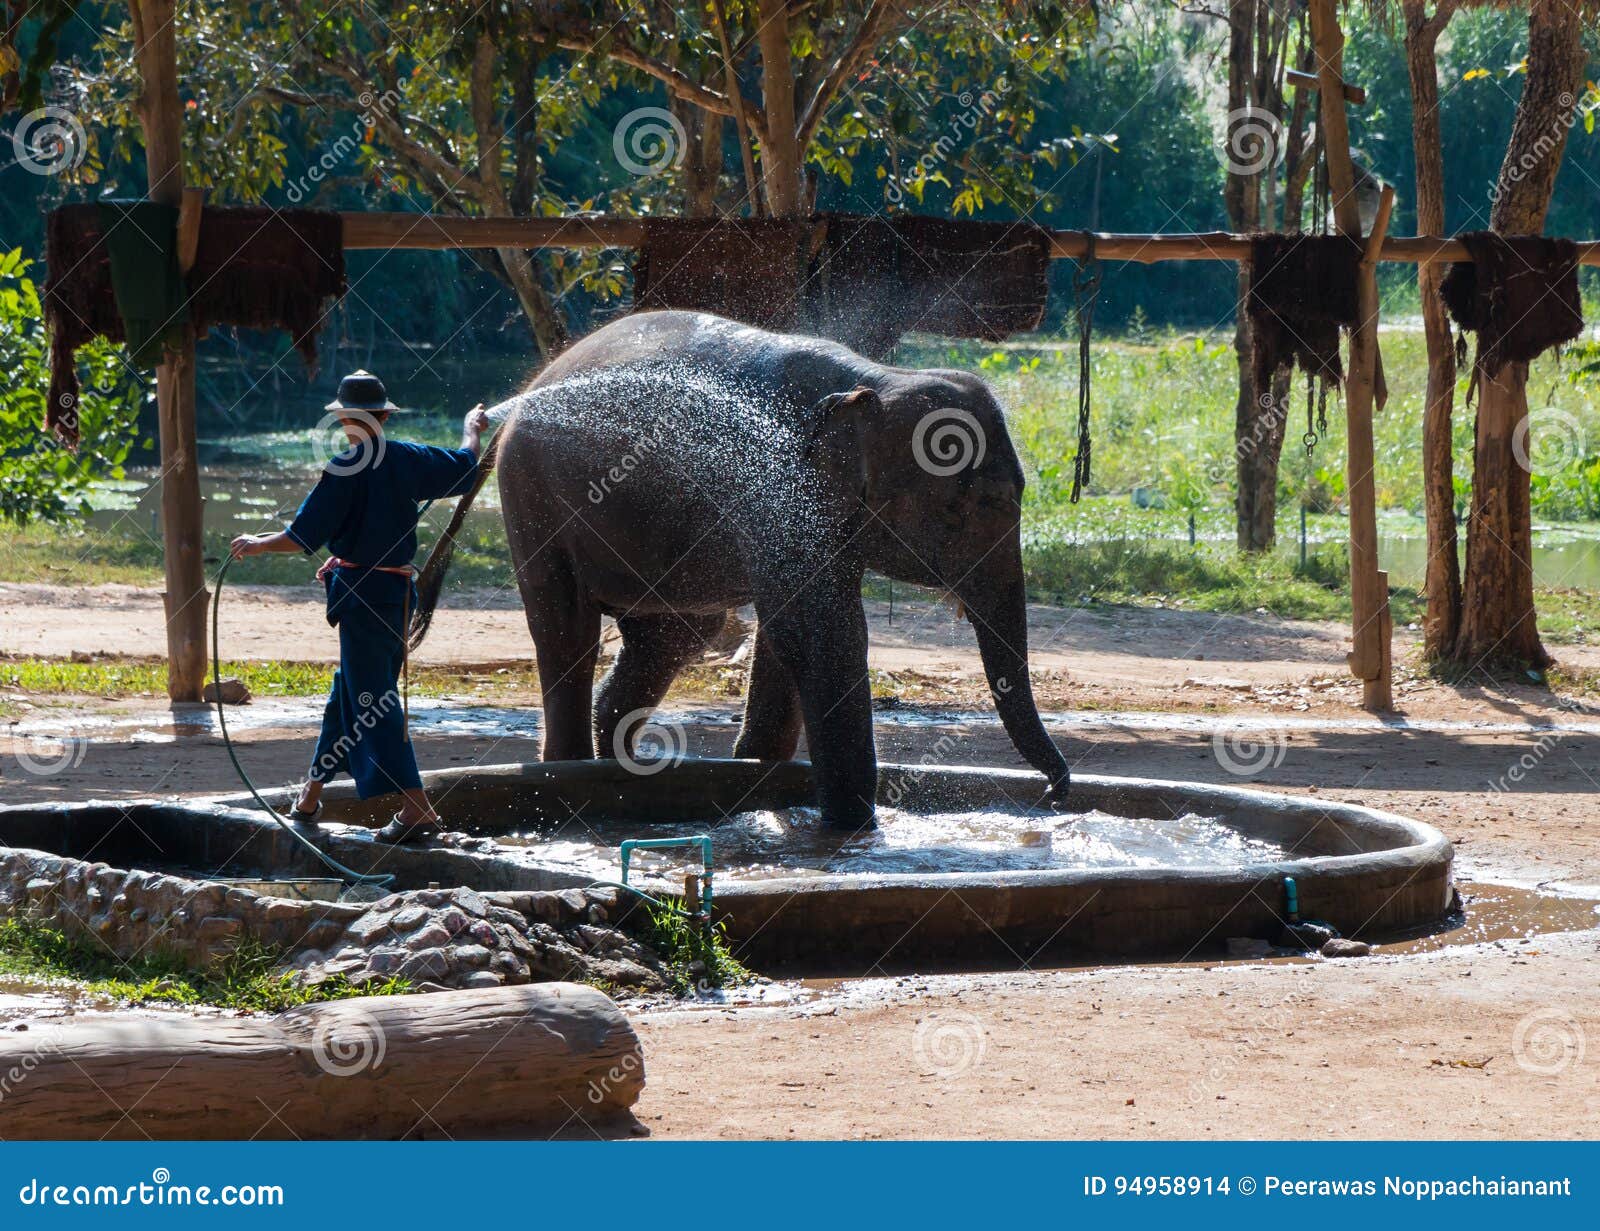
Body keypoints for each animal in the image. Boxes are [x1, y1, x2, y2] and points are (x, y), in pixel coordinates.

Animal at [410, 309, 1071, 823]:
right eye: (962, 510)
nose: (1055, 791)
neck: (873, 382)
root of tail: (520, 402)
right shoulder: (776, 492)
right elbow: (822, 635)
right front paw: (850, 827)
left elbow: (792, 633)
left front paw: (759, 779)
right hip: (535, 502)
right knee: (567, 629)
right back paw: (573, 774)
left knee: (673, 635)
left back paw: (624, 768)